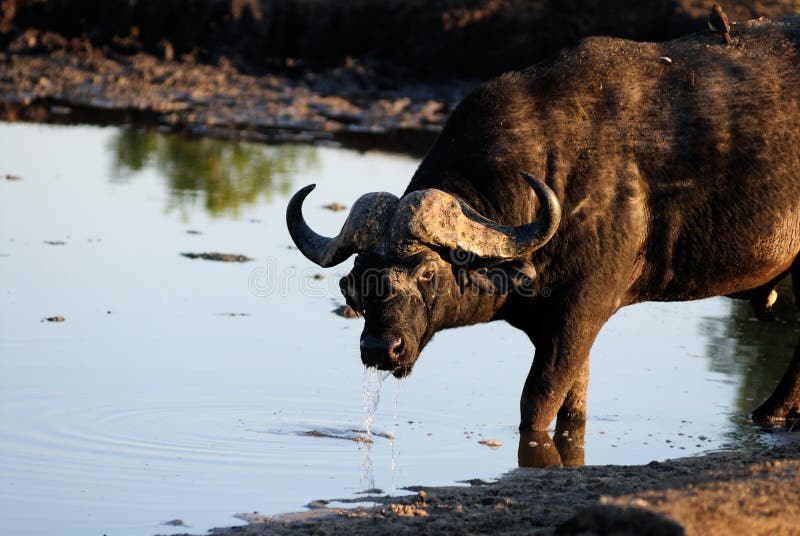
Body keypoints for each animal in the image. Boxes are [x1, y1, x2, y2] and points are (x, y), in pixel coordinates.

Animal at [287, 16, 800, 432]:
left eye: (428, 272)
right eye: (356, 280)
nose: (379, 349)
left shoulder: (581, 313)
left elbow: (535, 405)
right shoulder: (565, 330)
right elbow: (573, 407)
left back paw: (769, 414)